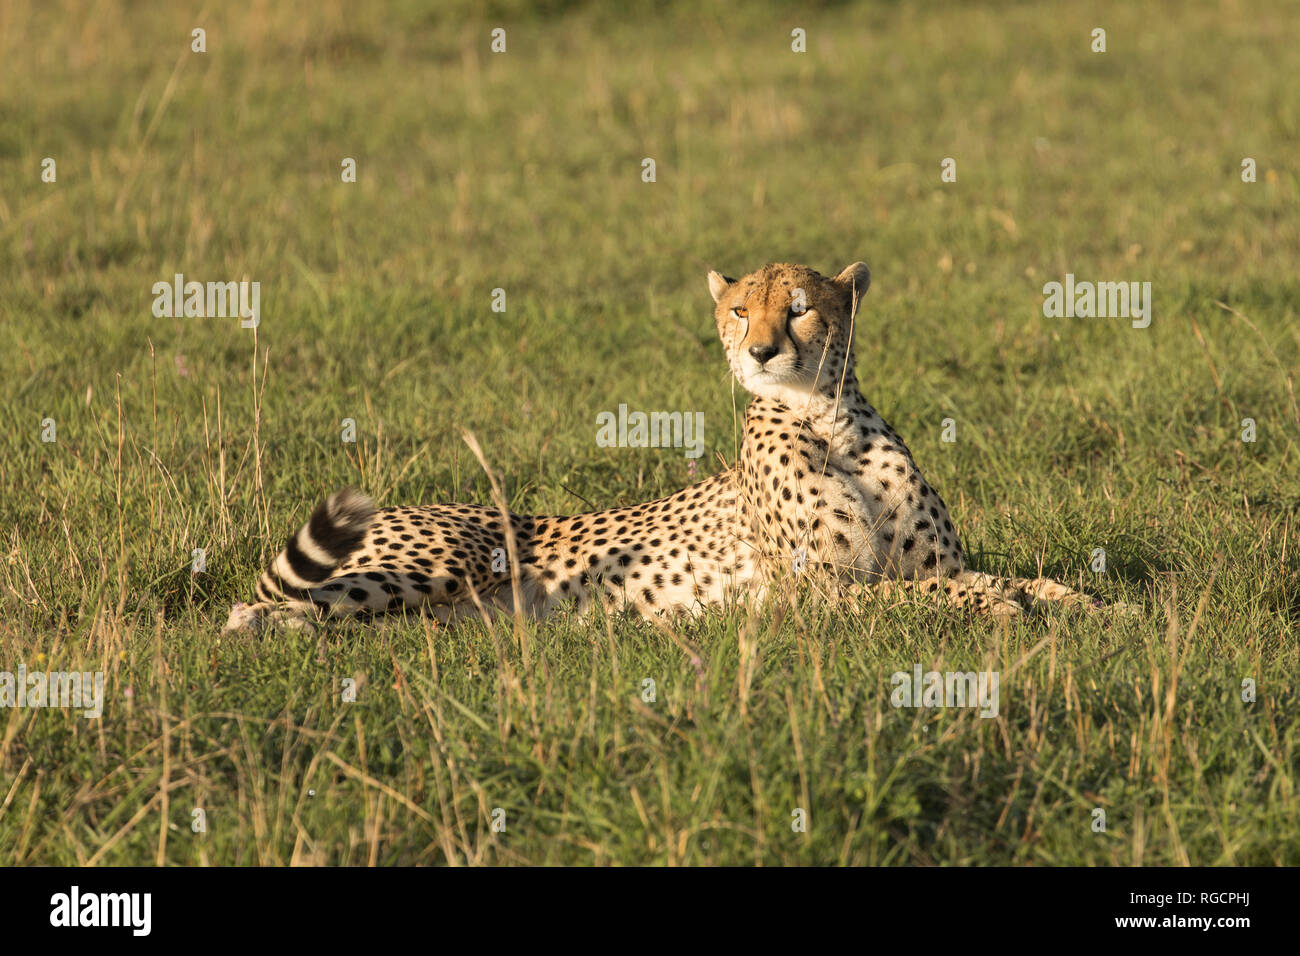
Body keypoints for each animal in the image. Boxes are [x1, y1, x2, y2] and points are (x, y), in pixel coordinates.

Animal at [223, 260, 1114, 635]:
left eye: (799, 308)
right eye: (740, 311)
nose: (761, 352)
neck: (826, 419)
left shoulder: (926, 562)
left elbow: (1013, 578)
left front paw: (1090, 603)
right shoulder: (817, 596)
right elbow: (922, 594)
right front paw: (1002, 606)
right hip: (436, 561)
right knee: (255, 606)